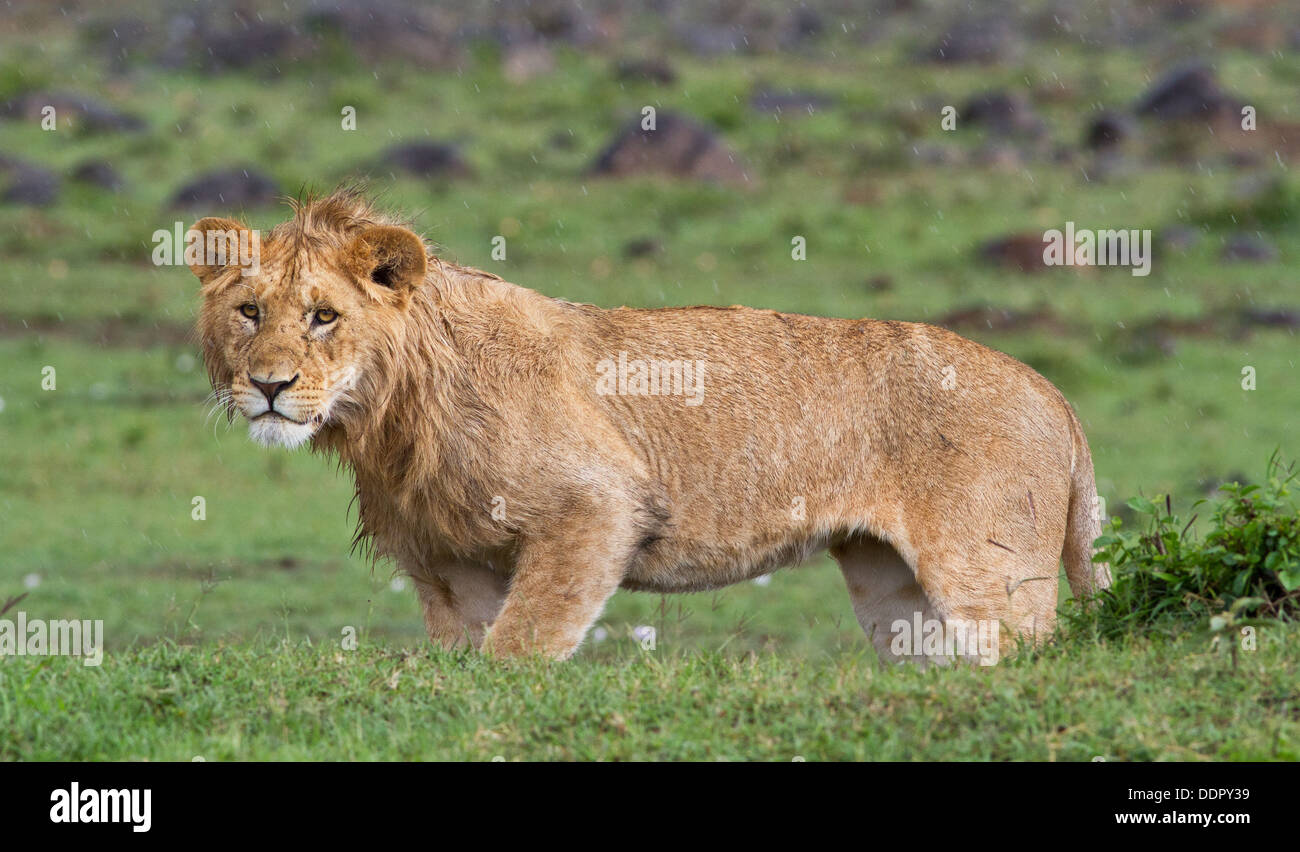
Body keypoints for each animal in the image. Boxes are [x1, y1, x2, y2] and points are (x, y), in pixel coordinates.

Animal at [189, 189, 1109, 663]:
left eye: (323, 316)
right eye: (248, 312)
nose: (267, 387)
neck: (386, 417)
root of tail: (1054, 394)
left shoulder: (597, 504)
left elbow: (523, 643)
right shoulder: (449, 563)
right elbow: (468, 656)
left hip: (989, 575)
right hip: (895, 588)